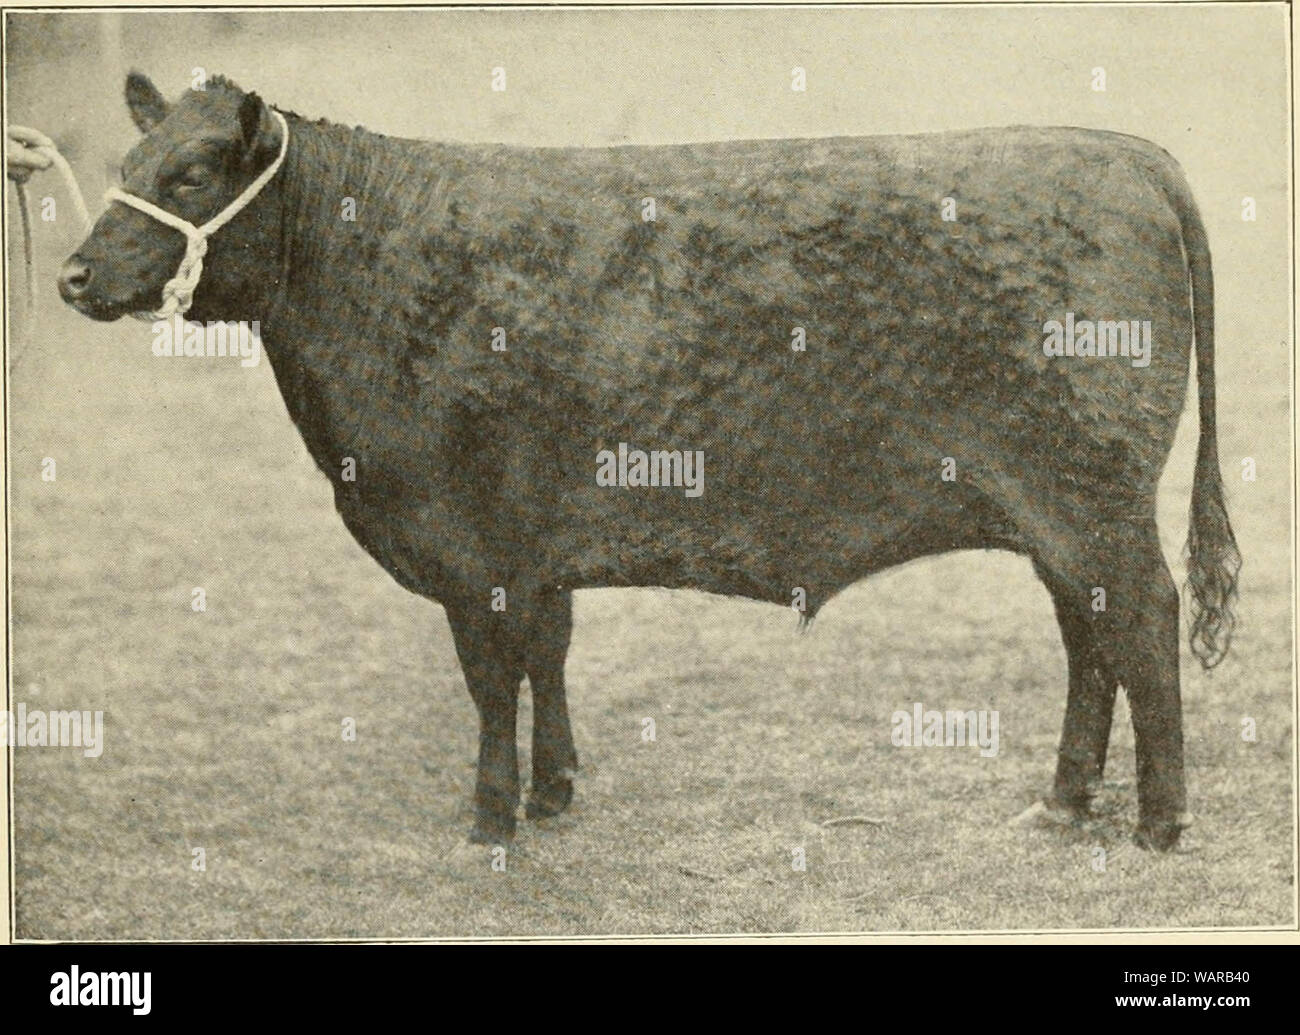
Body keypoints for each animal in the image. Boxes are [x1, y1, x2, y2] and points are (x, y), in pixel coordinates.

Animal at [58, 72, 1239, 851]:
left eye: (192, 172)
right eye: (125, 165)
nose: (71, 275)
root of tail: (1125, 150)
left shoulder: (472, 546)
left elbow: (491, 679)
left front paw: (489, 822)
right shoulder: (534, 549)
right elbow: (547, 658)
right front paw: (552, 792)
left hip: (1089, 495)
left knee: (1140, 620)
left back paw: (1158, 822)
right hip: (1058, 508)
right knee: (1088, 634)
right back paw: (1062, 801)